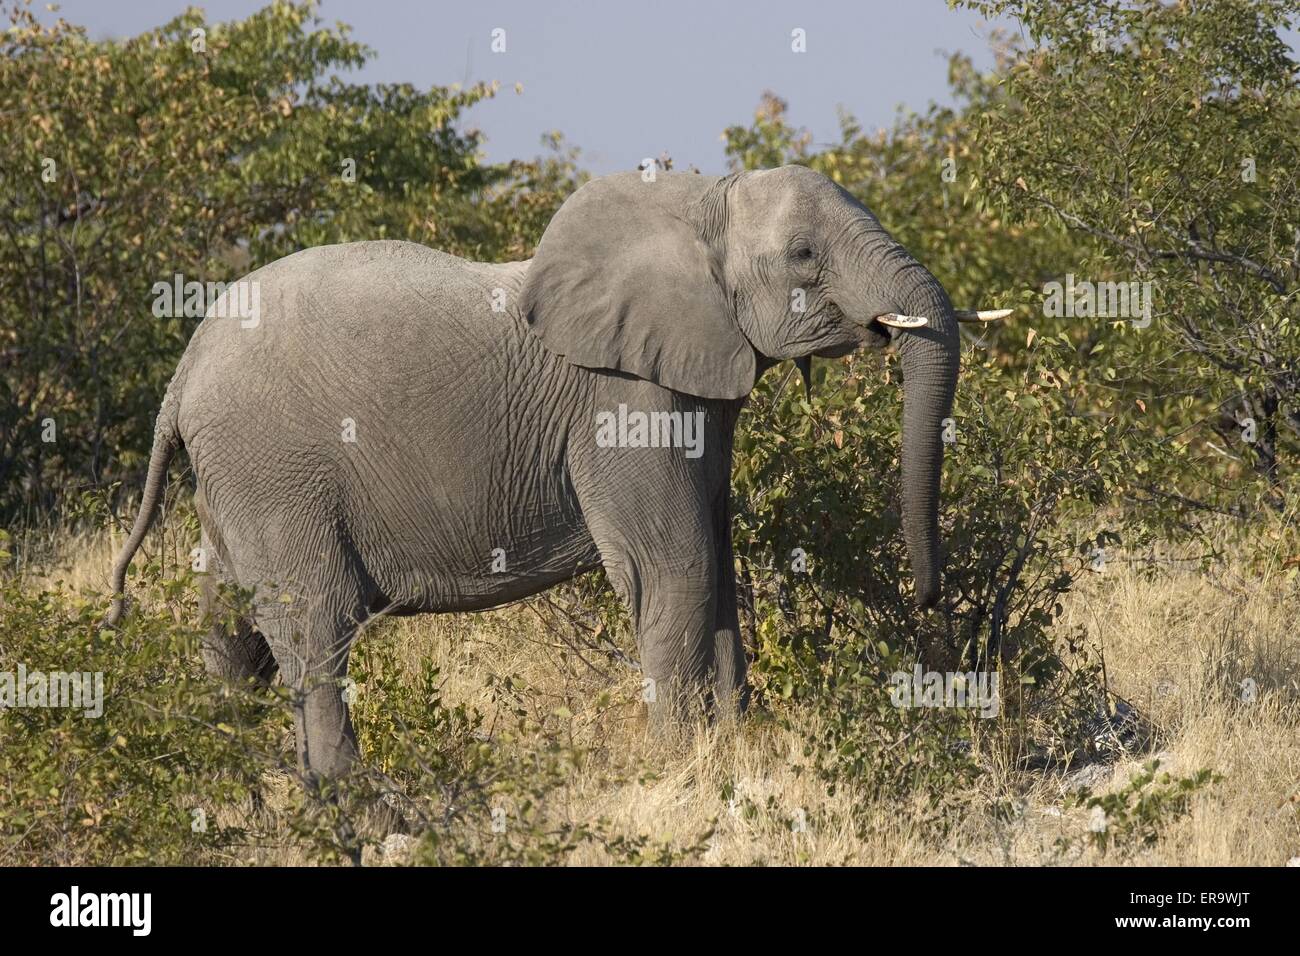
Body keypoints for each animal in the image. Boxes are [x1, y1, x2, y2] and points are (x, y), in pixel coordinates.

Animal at [104, 164, 1001, 781]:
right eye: (805, 255)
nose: (930, 599)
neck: (698, 204)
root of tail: (181, 373)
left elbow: (716, 563)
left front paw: (734, 751)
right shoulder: (621, 398)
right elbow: (673, 565)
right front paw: (683, 771)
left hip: (234, 481)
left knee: (232, 631)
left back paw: (236, 779)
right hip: (275, 472)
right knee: (314, 628)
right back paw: (359, 806)